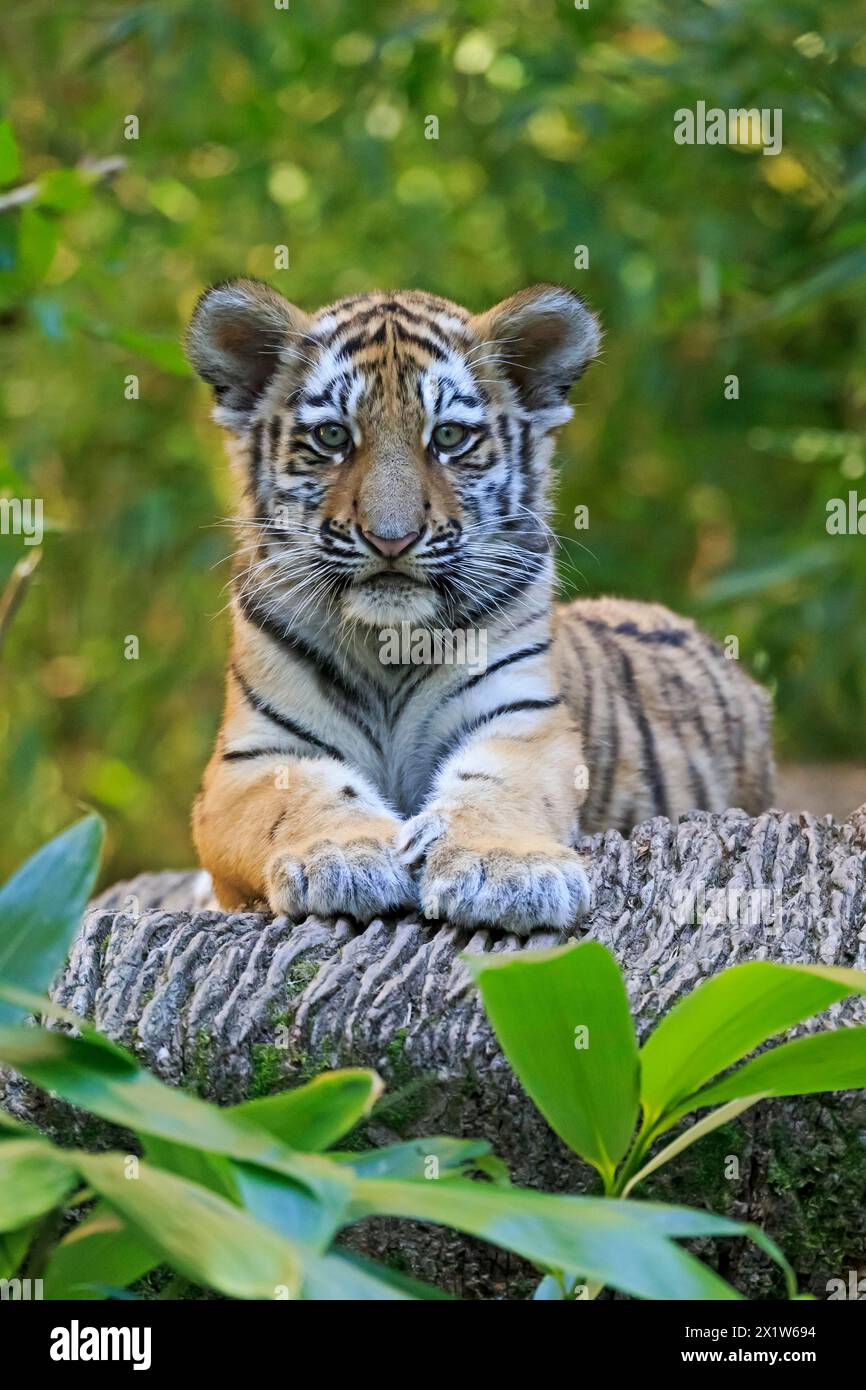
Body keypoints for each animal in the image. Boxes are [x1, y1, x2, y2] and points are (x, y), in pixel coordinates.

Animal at [185, 279, 775, 934]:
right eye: (333, 437)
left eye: (448, 438)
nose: (391, 539)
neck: (388, 645)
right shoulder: (253, 758)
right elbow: (302, 800)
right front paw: (343, 857)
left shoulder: (524, 719)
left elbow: (497, 787)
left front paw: (503, 871)